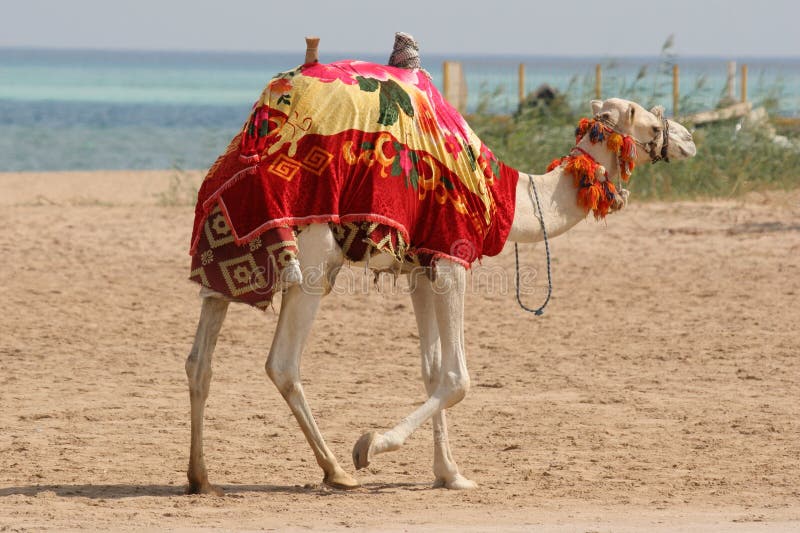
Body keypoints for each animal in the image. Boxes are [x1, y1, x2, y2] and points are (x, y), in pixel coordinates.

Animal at [184, 40, 697, 495]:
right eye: (649, 120)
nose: (689, 138)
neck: (507, 197)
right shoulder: (453, 259)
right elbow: (457, 377)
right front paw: (370, 444)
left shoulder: (420, 268)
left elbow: (433, 372)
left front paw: (450, 474)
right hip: (313, 258)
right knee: (283, 364)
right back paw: (337, 471)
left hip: (225, 257)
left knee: (200, 359)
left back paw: (201, 478)